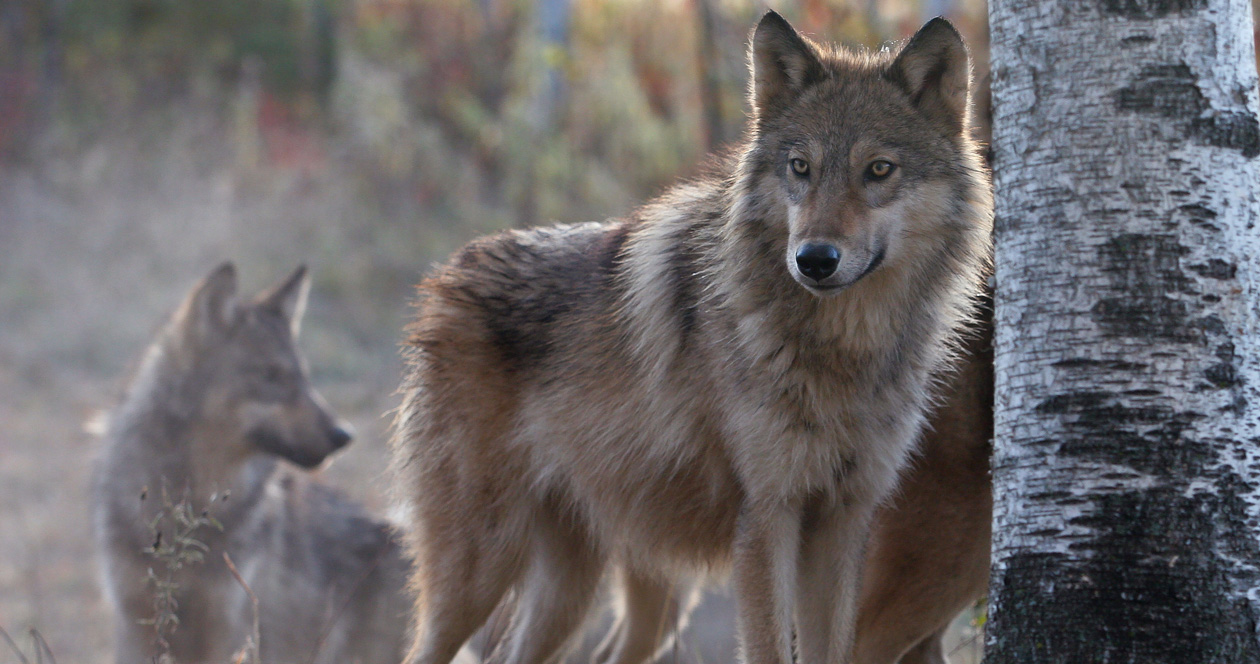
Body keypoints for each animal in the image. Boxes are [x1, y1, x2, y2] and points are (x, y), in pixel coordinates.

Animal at [94, 263, 414, 664]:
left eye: (304, 377)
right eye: (272, 376)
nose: (345, 434)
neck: (190, 500)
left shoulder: (228, 630)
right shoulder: (134, 623)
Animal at [391, 11, 992, 664]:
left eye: (879, 170)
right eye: (800, 168)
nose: (813, 260)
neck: (843, 350)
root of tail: (447, 273)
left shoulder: (842, 521)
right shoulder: (767, 519)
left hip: (569, 591)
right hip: (482, 571)